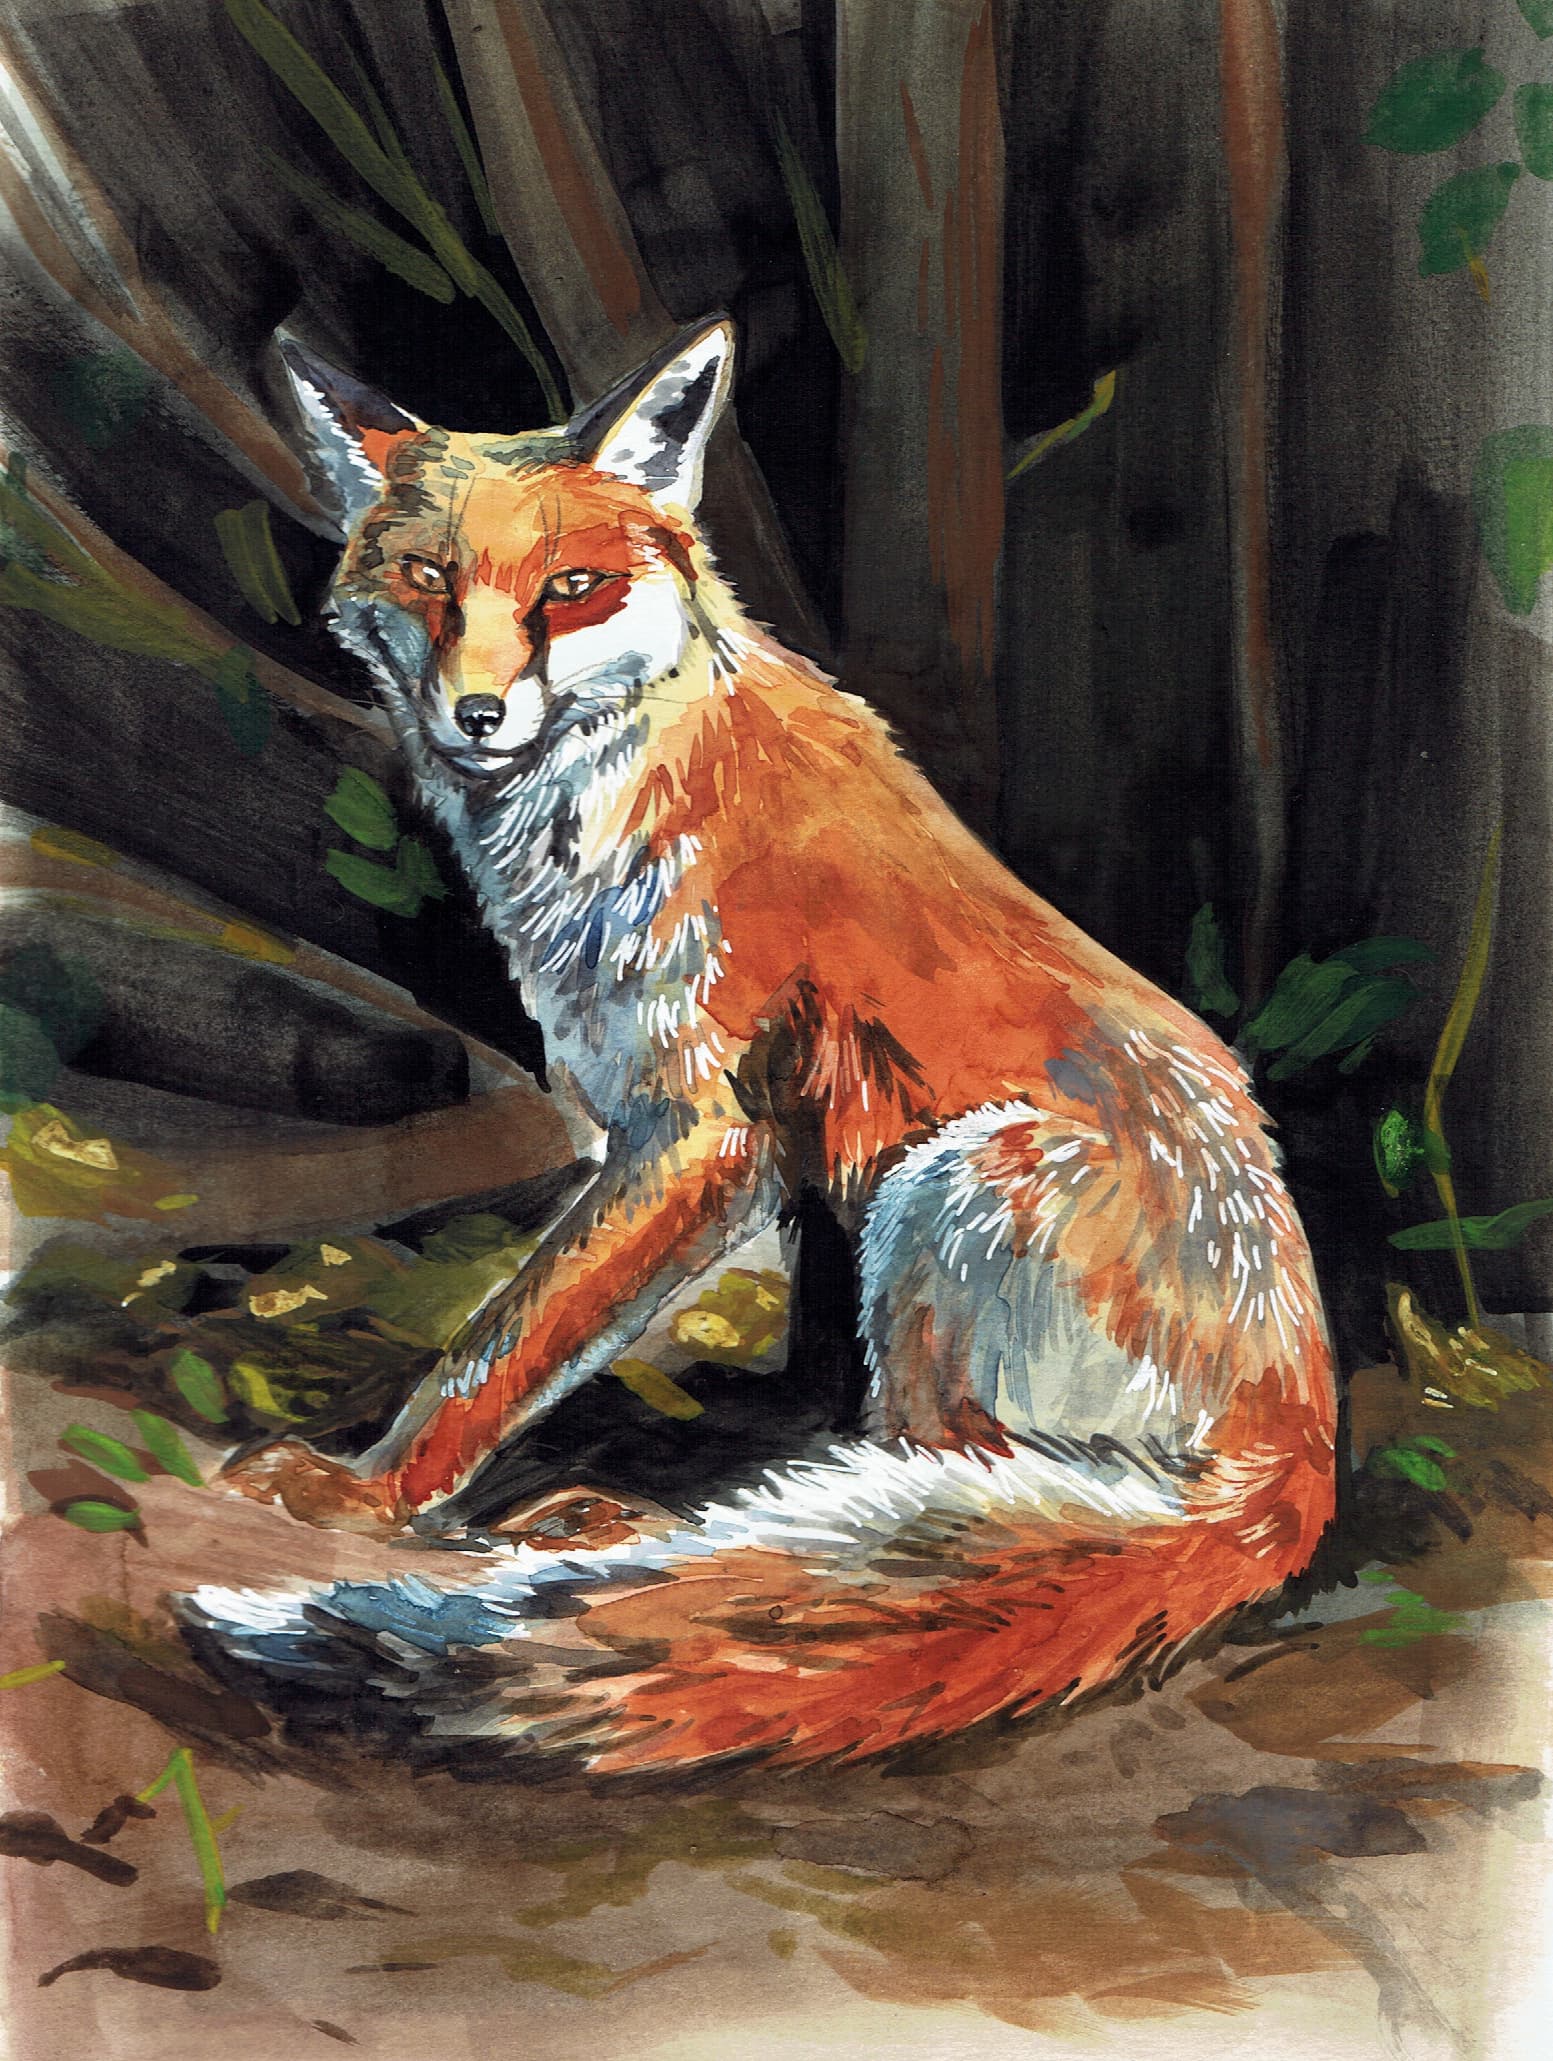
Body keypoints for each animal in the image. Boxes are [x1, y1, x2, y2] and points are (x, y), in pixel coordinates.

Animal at [180, 320, 1338, 1778]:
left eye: (570, 588)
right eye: (429, 578)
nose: (479, 716)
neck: (619, 791)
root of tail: (1298, 1435)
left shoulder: (701, 1131)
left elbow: (502, 1345)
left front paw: (372, 1490)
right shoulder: (739, 1141)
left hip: (951, 1192)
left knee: (942, 1472)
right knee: (881, 1473)